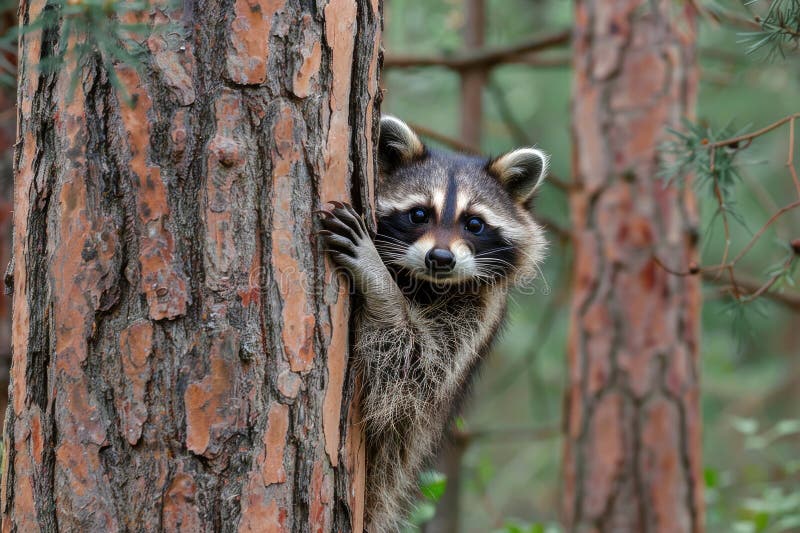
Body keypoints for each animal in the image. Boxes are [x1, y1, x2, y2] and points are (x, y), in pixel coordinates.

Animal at [318, 116, 548, 531]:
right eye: (419, 214)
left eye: (474, 224)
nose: (440, 258)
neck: (425, 283)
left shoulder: (477, 315)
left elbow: (412, 367)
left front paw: (378, 281)